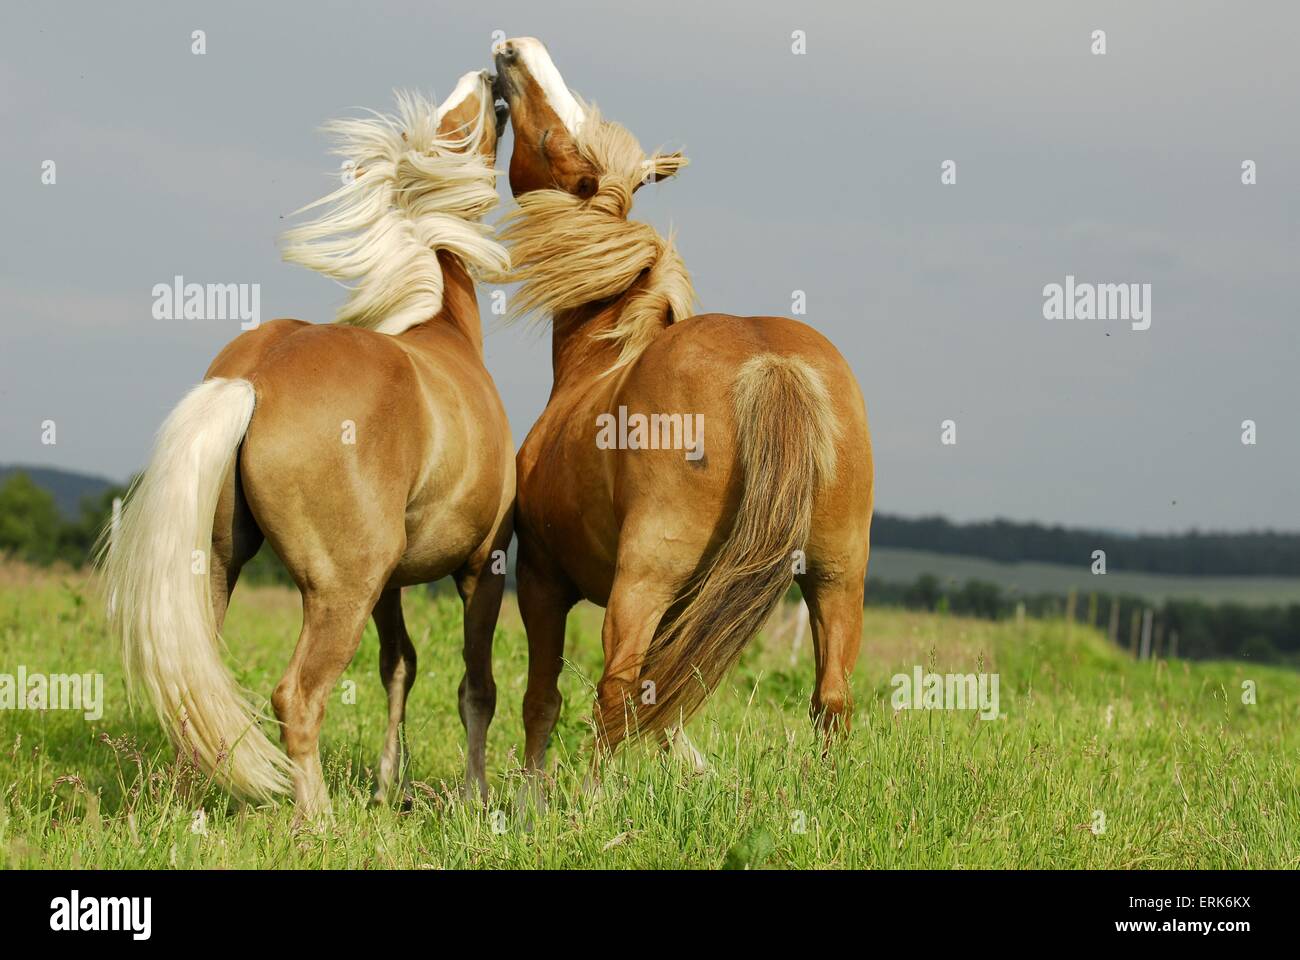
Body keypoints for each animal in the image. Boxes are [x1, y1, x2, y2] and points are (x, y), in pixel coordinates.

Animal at [101, 71, 515, 818]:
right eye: (463, 121)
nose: (492, 77)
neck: (438, 329)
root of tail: (254, 379)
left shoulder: (392, 581)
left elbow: (399, 666)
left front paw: (386, 786)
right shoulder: (483, 565)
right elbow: (476, 689)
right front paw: (476, 800)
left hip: (220, 567)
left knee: (195, 692)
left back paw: (195, 807)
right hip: (339, 591)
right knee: (297, 695)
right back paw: (317, 819)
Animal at [491, 38, 874, 777]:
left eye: (554, 138)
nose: (512, 50)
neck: (600, 358)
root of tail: (771, 362)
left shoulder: (540, 580)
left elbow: (541, 699)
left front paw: (531, 789)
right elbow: (670, 702)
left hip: (645, 576)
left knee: (616, 689)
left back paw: (593, 794)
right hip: (838, 572)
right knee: (832, 697)